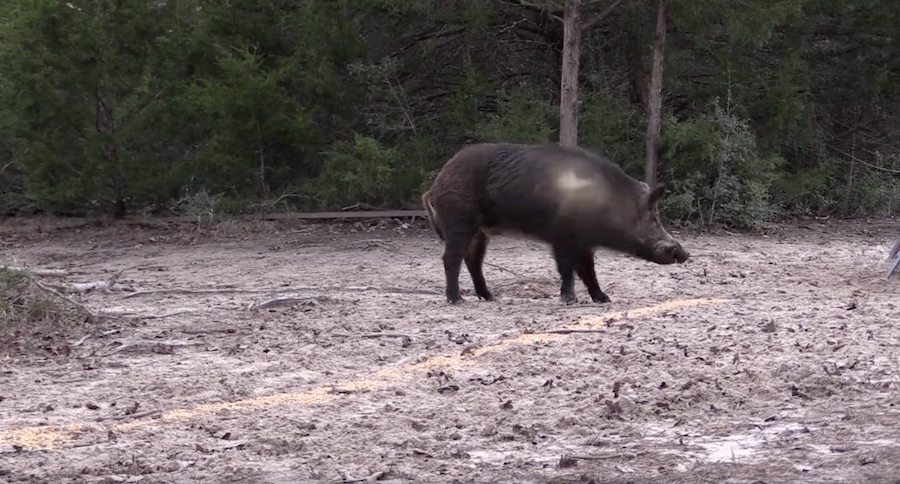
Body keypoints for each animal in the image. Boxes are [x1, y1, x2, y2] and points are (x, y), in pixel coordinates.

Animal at [420, 142, 689, 304]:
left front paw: (603, 298)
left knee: (473, 260)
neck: (605, 201)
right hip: (459, 219)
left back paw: (490, 297)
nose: (684, 253)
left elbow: (588, 270)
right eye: (654, 219)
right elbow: (567, 269)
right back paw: (457, 300)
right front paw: (570, 300)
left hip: (479, 231)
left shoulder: (584, 243)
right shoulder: (562, 237)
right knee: (452, 258)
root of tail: (434, 187)